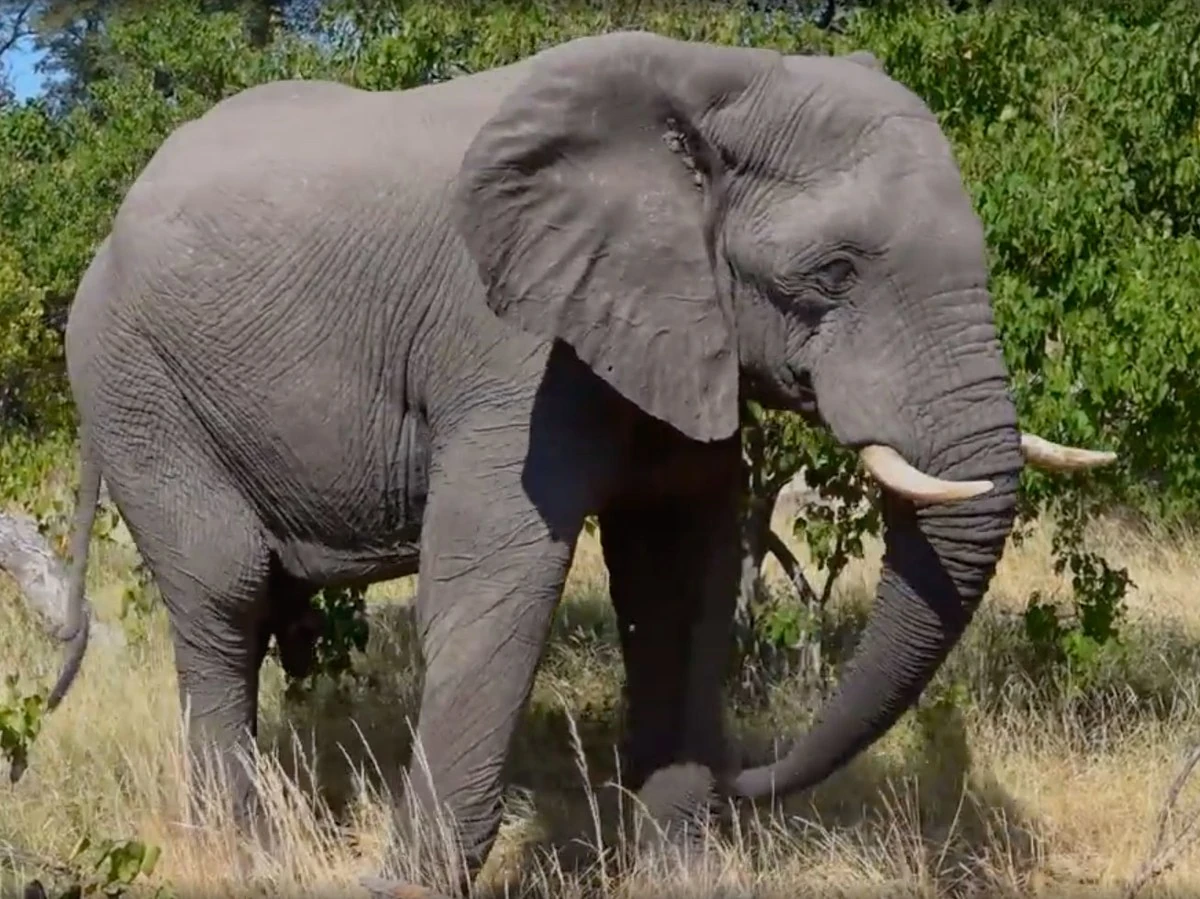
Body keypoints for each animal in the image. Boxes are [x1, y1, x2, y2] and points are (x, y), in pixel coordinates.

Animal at [40, 29, 1114, 893]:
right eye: (831, 274)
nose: (748, 777)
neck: (720, 81)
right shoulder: (508, 345)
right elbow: (495, 585)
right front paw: (402, 885)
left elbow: (680, 579)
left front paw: (686, 880)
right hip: (135, 387)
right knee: (225, 598)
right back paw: (245, 853)